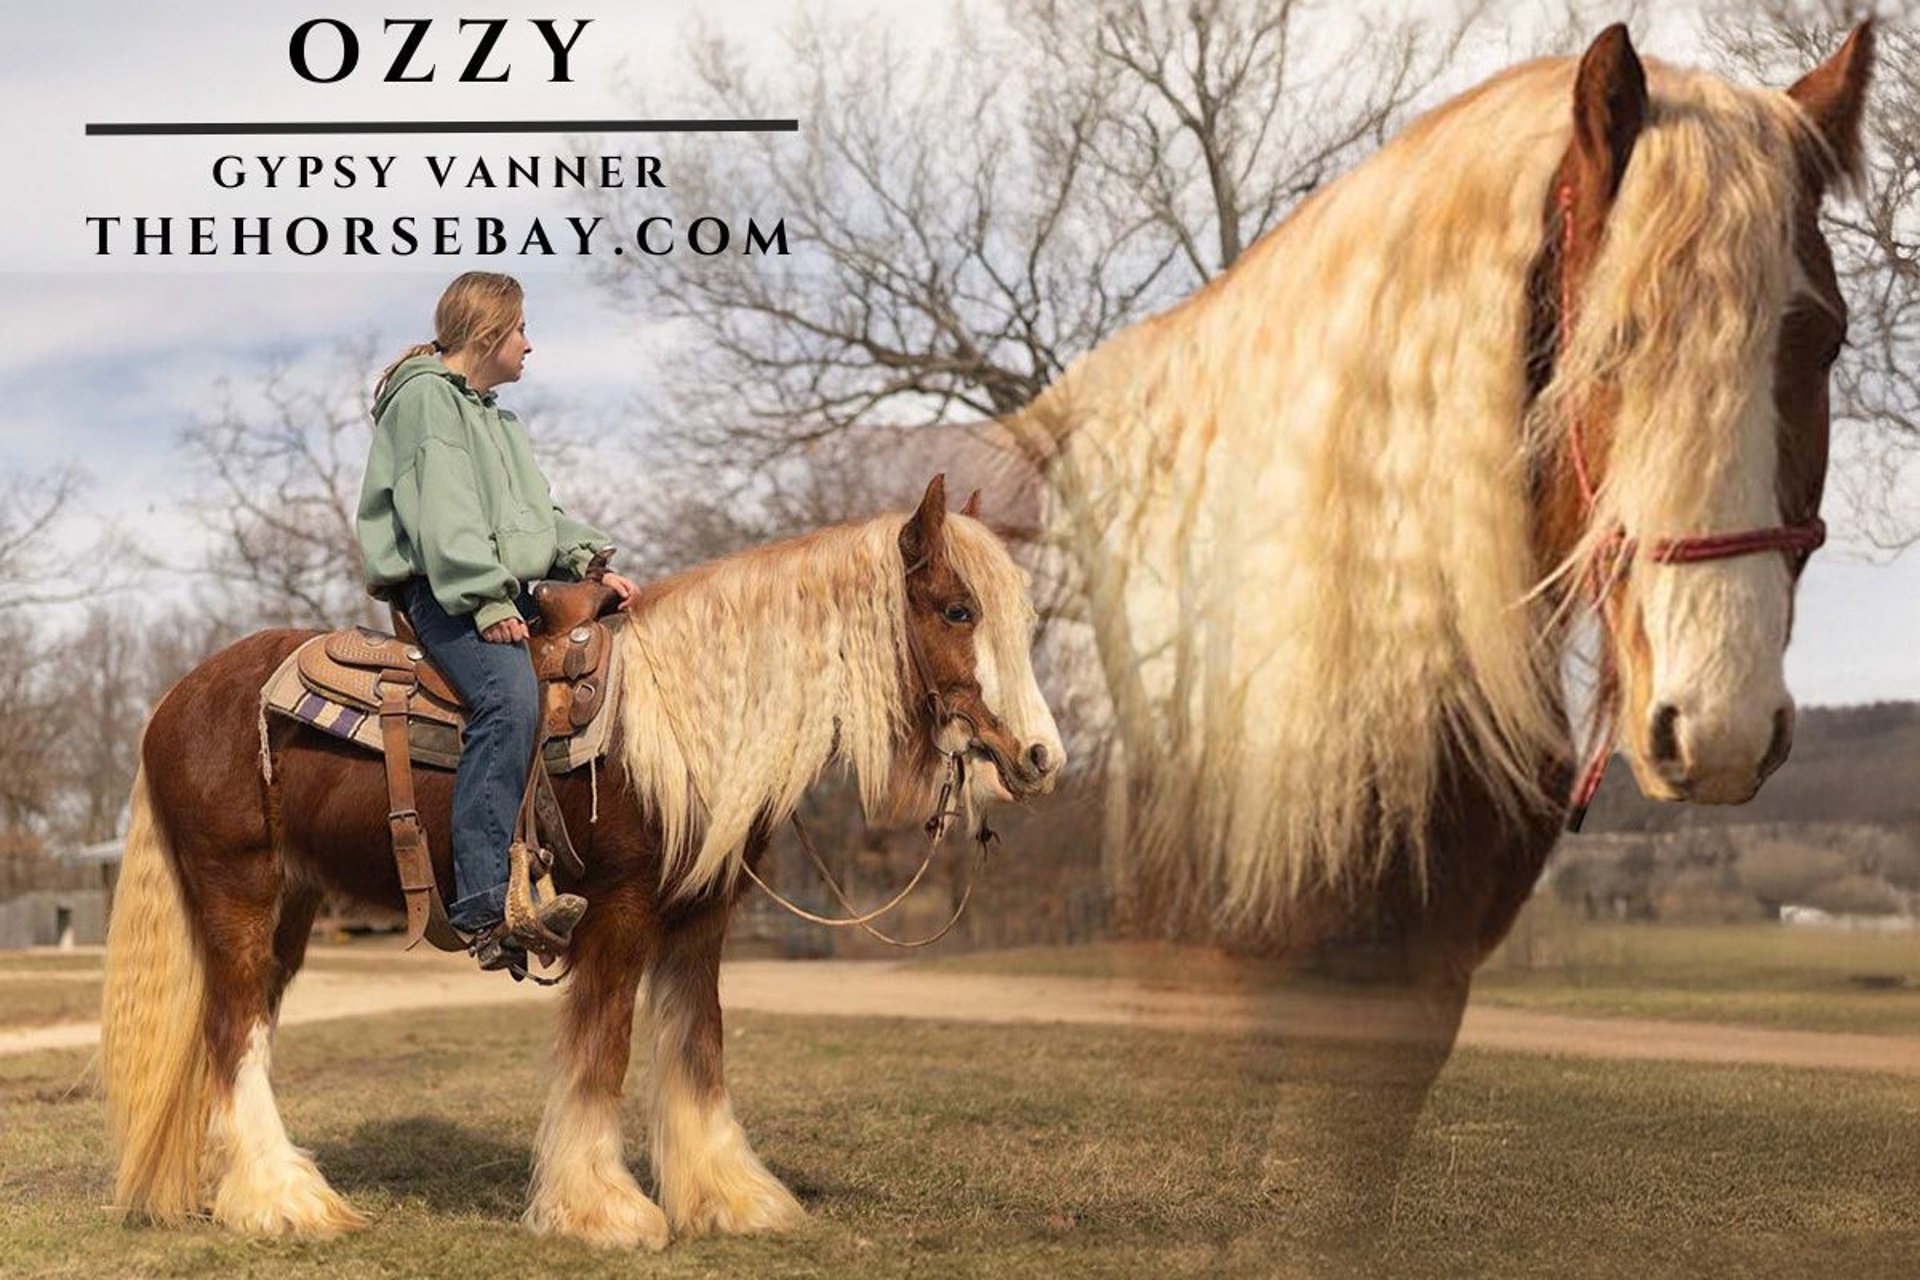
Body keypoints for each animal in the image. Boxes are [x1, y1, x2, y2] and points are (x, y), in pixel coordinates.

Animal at [99, 475, 1065, 1247]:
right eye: (958, 610)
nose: (1041, 757)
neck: (683, 717)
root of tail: (172, 703)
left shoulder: (701, 917)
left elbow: (699, 1048)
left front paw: (728, 1197)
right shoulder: (620, 906)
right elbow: (604, 1052)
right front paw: (602, 1209)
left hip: (290, 905)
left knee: (241, 1026)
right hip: (237, 889)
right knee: (234, 1029)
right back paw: (283, 1200)